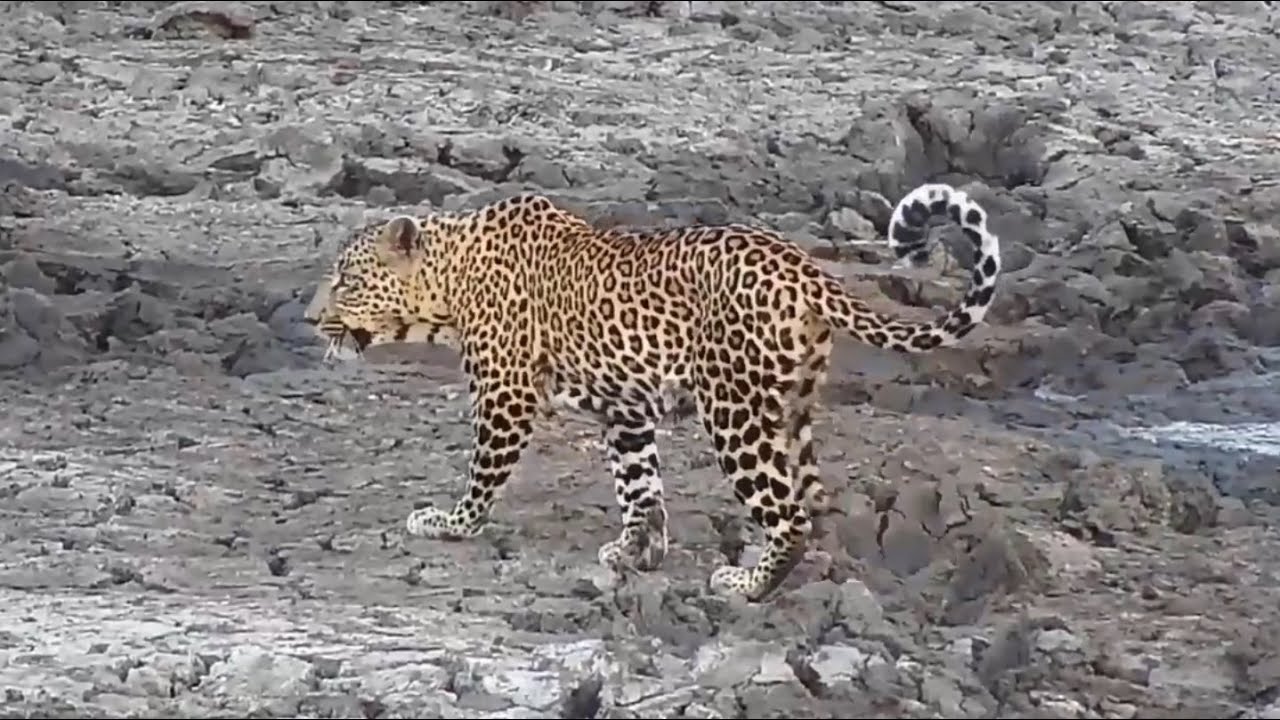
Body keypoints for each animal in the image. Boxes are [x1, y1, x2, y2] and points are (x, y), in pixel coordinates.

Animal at [302, 183, 1002, 602]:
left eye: (345, 280)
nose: (311, 318)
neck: (450, 281)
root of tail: (804, 266)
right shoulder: (626, 411)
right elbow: (640, 486)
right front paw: (638, 550)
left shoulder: (505, 397)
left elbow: (482, 476)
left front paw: (450, 524)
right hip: (792, 408)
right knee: (812, 496)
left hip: (735, 413)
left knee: (789, 513)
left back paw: (748, 583)